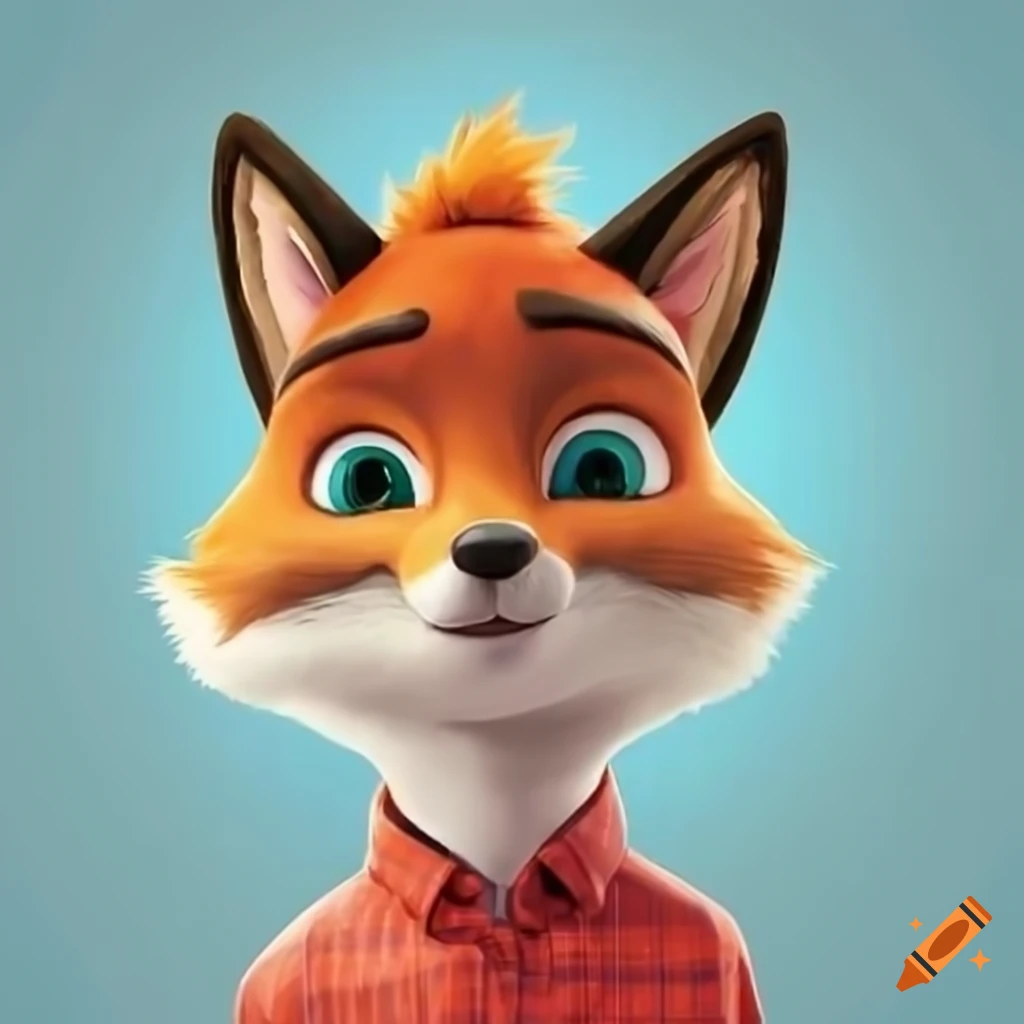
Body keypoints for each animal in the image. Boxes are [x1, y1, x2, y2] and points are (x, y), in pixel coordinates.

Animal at [147, 98, 822, 1023]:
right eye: (367, 480)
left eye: (603, 469)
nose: (494, 546)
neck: (497, 856)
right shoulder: (273, 982)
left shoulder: (723, 951)